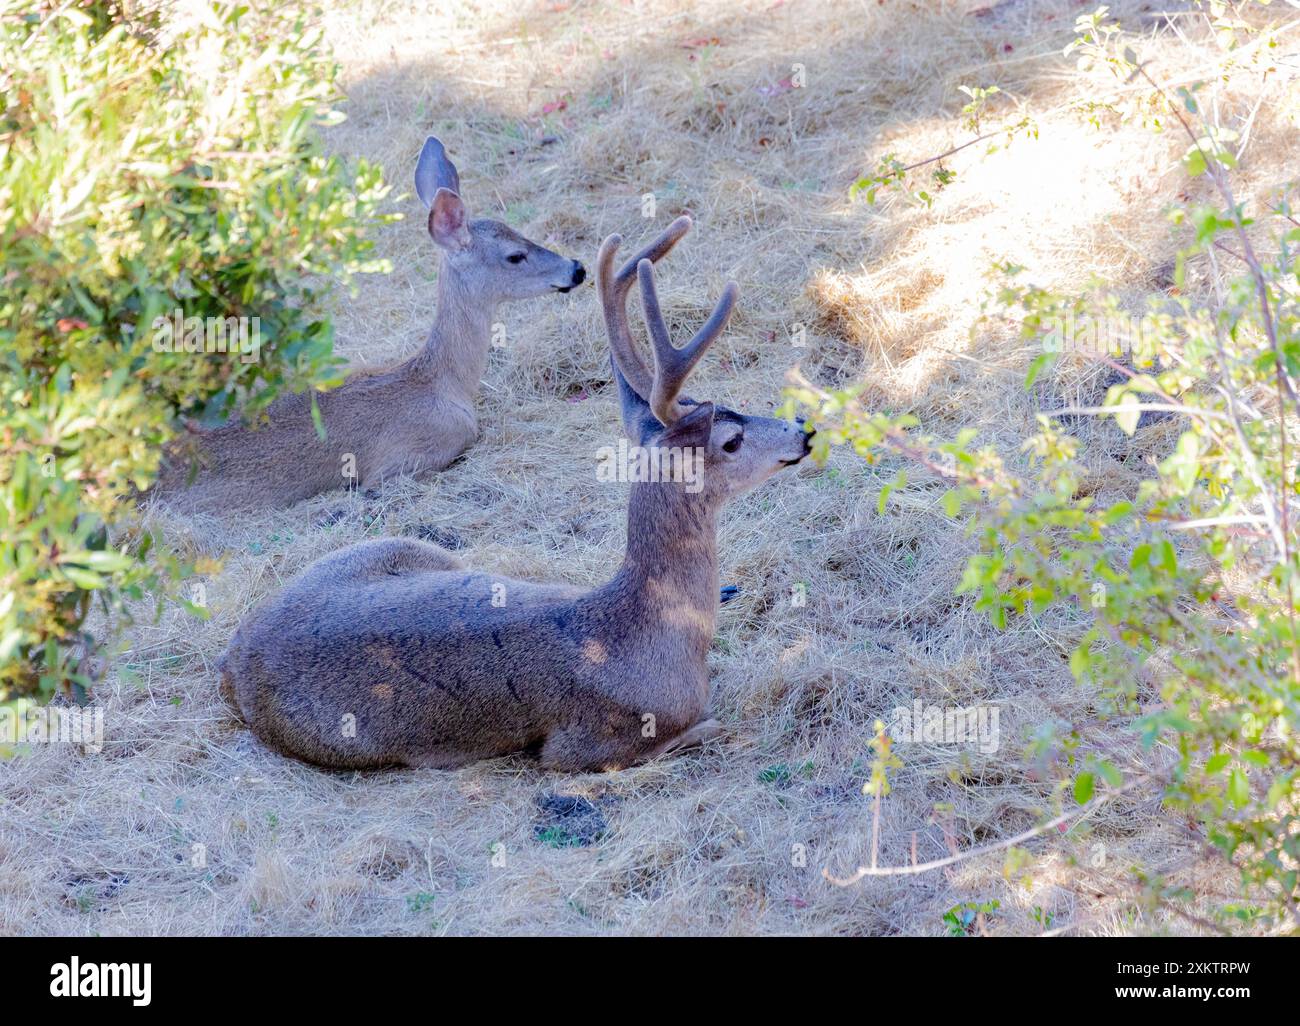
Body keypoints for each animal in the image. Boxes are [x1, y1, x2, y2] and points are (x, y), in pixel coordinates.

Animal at [218, 216, 812, 771]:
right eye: (731, 440)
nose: (802, 429)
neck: (645, 635)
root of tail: (231, 659)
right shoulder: (581, 746)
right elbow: (707, 726)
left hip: (401, 548)